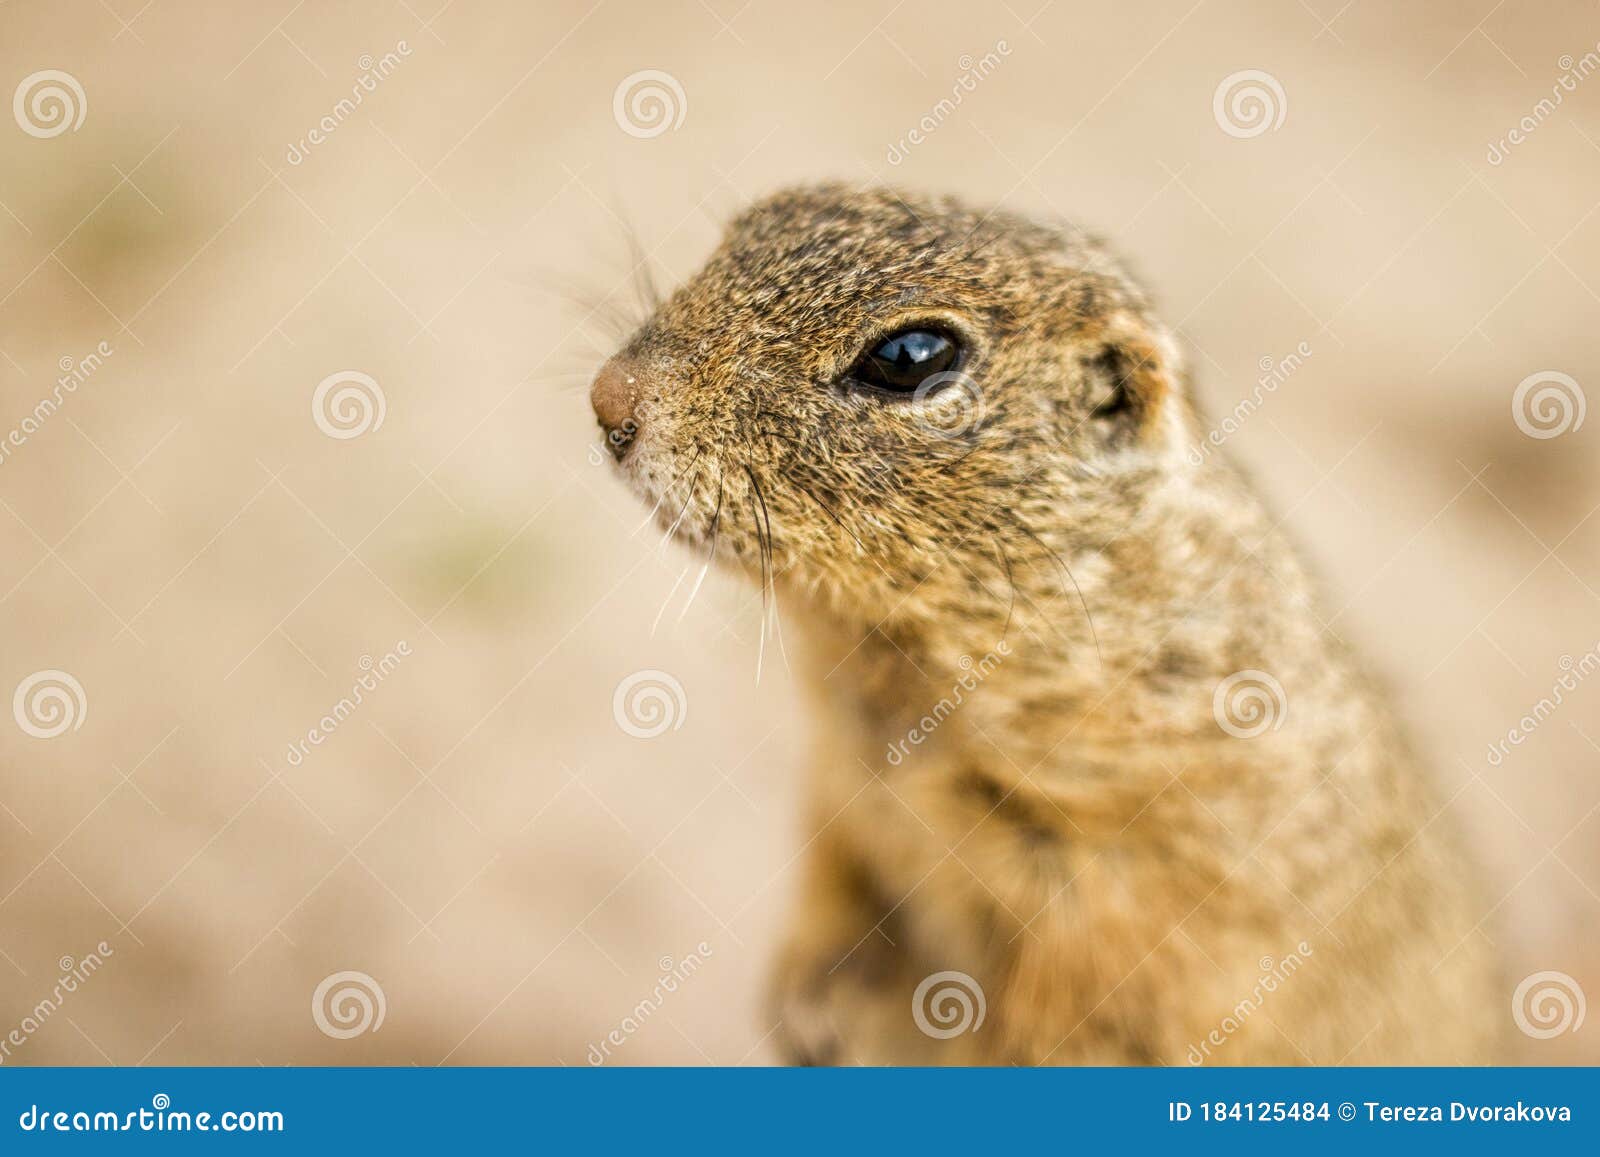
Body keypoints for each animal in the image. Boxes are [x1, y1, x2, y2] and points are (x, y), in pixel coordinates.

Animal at [589, 184, 1501, 1065]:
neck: (888, 680)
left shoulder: (1155, 874)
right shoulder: (837, 778)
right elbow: (830, 870)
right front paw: (805, 997)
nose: (609, 398)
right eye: (755, 219)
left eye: (911, 357)